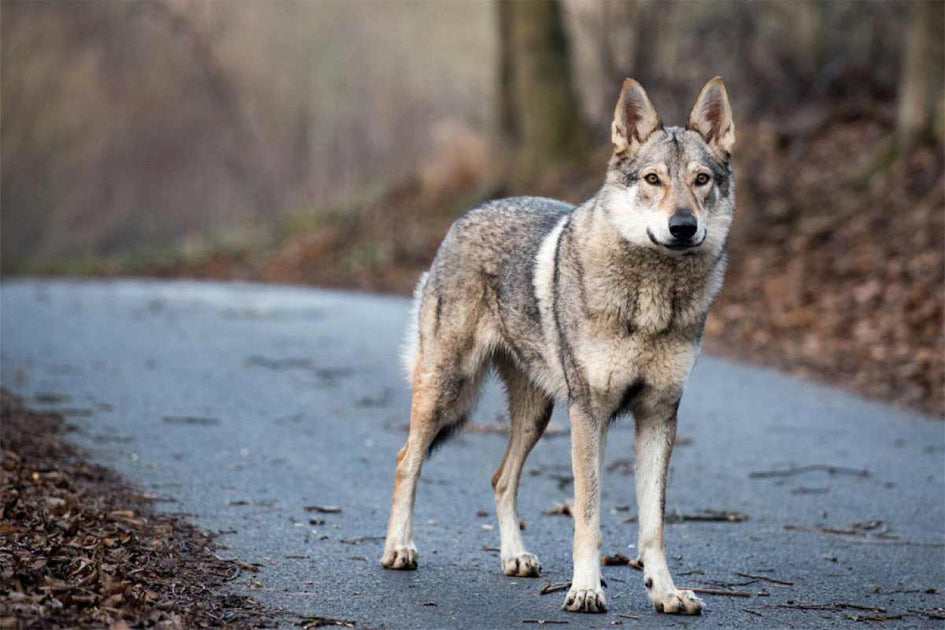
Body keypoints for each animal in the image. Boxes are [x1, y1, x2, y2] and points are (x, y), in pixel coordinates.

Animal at [381, 77, 735, 616]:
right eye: (653, 179)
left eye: (700, 180)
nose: (682, 226)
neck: (653, 295)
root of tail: (465, 216)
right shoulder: (589, 415)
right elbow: (587, 516)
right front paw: (586, 589)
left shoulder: (659, 416)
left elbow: (653, 526)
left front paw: (667, 593)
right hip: (446, 390)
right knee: (406, 460)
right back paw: (398, 548)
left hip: (537, 415)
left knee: (500, 479)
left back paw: (515, 557)